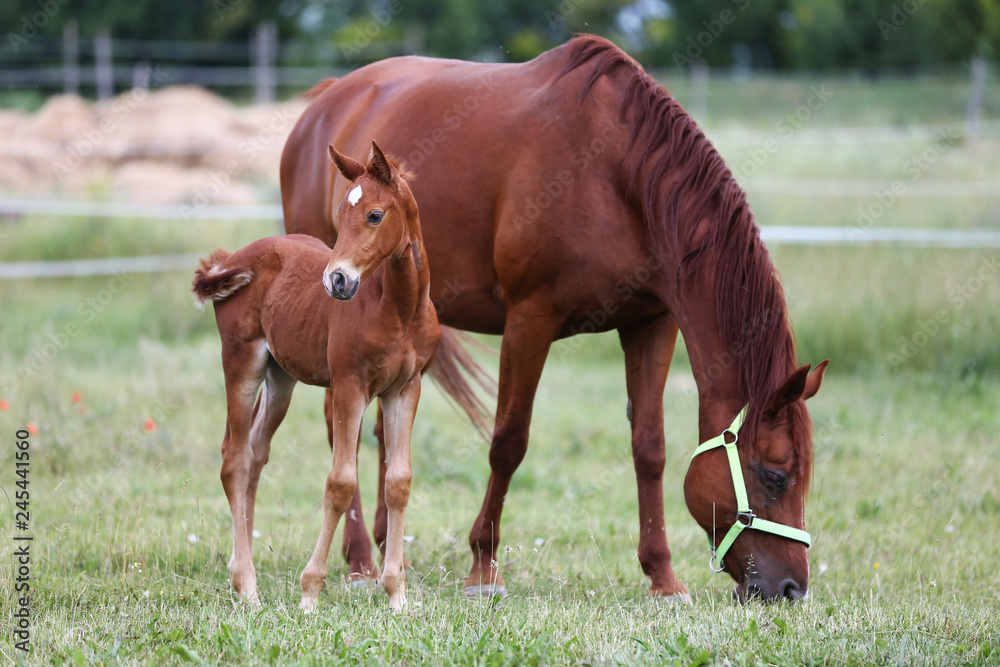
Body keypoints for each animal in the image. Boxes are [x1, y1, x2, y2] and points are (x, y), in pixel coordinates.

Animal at [194, 141, 442, 612]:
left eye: (375, 215)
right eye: (339, 216)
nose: (337, 280)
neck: (399, 308)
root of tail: (232, 259)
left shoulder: (405, 389)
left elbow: (398, 482)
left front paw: (397, 597)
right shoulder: (349, 387)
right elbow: (340, 482)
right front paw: (310, 594)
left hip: (280, 380)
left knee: (255, 453)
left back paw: (238, 572)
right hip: (241, 362)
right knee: (234, 460)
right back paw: (248, 587)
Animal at [281, 35, 829, 602]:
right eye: (775, 476)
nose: (792, 588)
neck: (617, 174)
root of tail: (325, 102)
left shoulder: (651, 323)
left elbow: (649, 447)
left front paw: (661, 575)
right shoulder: (531, 319)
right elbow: (508, 441)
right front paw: (483, 567)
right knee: (340, 427)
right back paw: (361, 559)